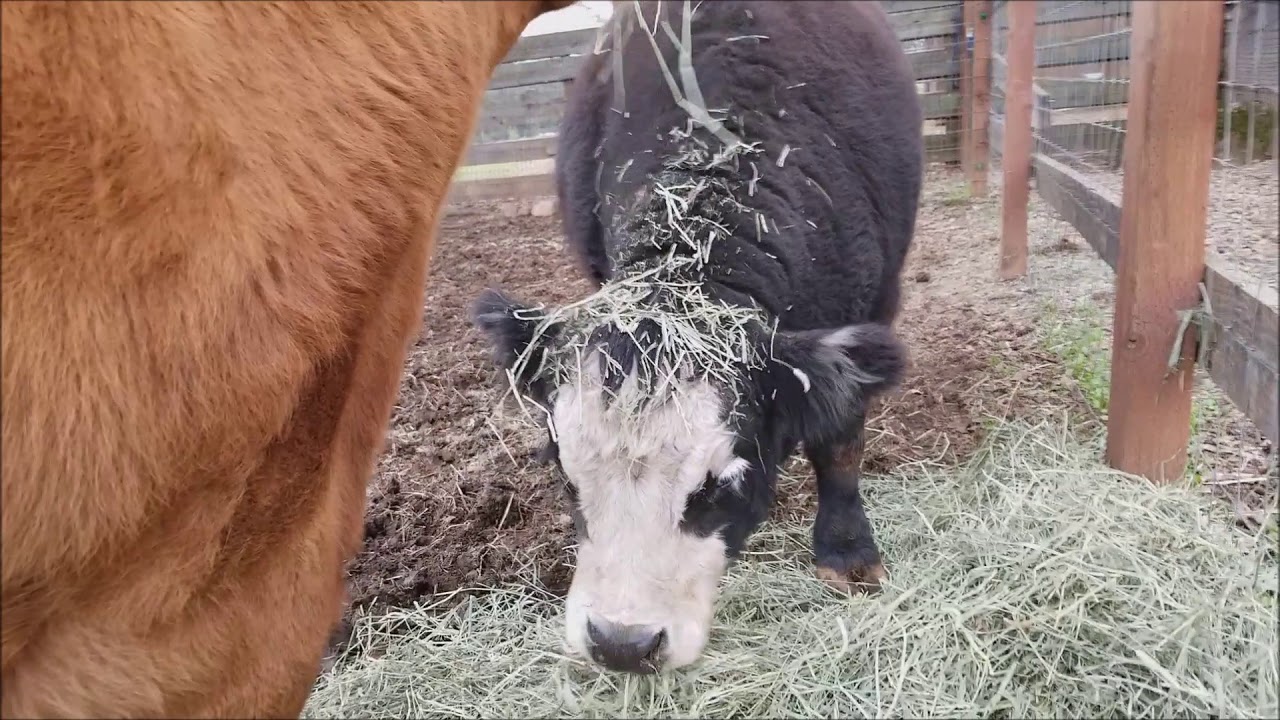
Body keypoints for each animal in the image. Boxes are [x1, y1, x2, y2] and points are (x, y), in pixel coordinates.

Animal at [472, 0, 923, 675]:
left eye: (718, 483)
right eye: (564, 475)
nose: (621, 644)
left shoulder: (874, 308)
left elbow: (841, 440)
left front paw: (848, 554)